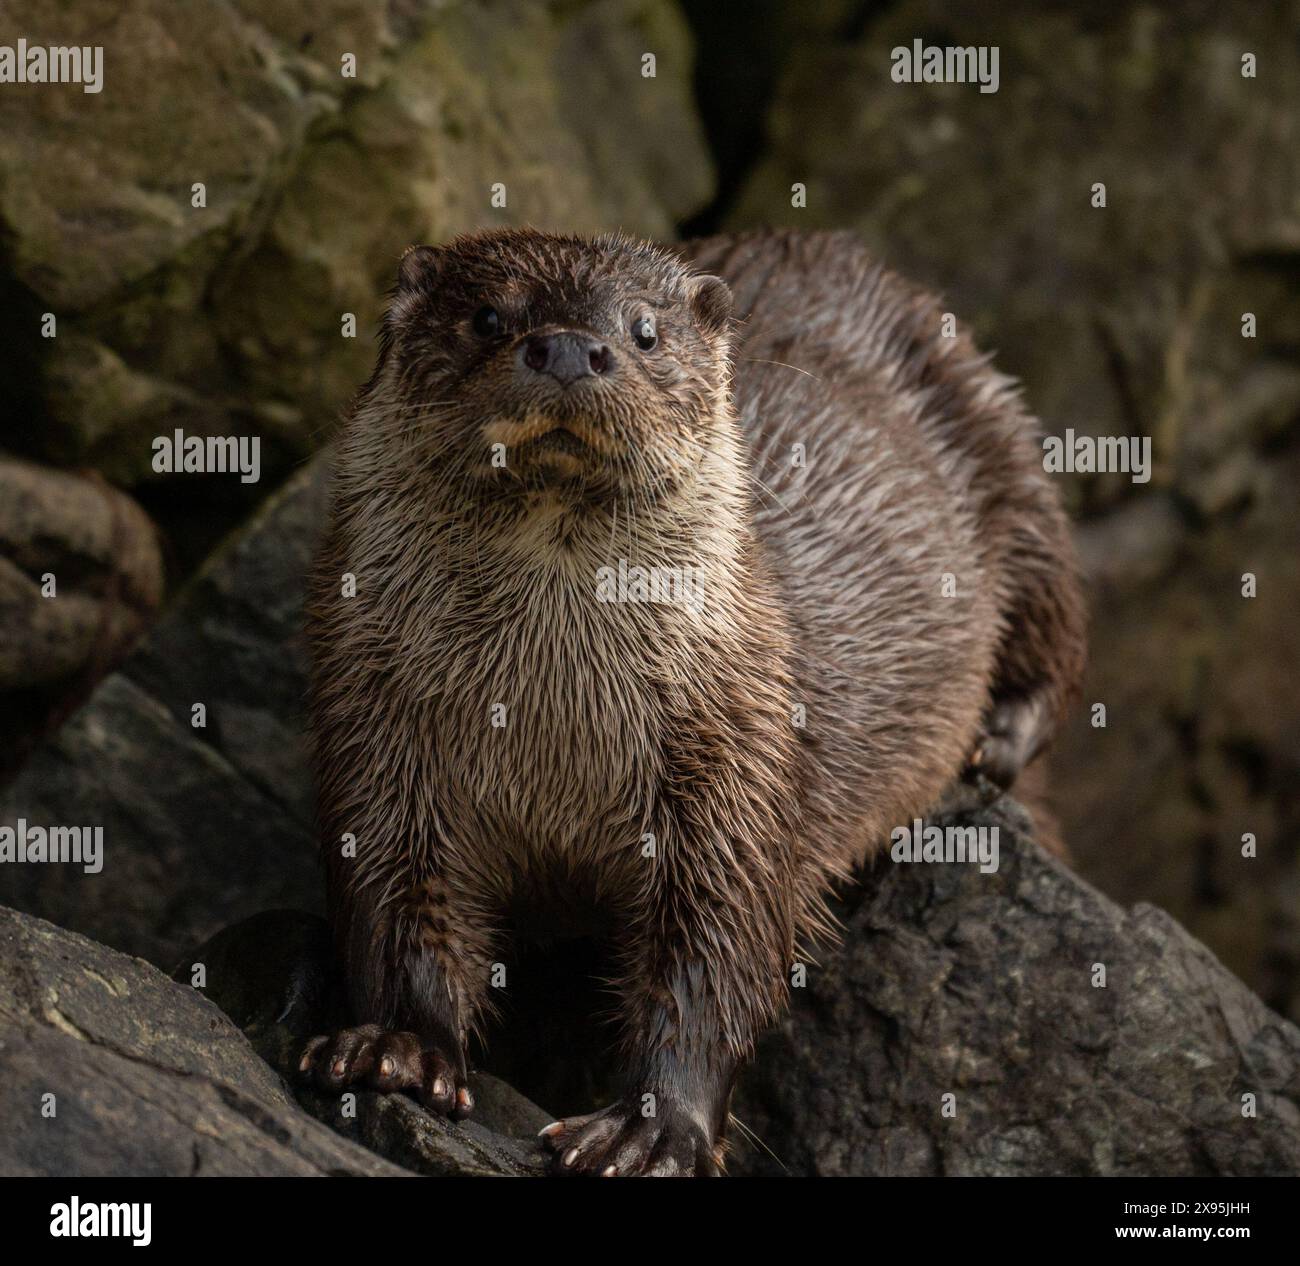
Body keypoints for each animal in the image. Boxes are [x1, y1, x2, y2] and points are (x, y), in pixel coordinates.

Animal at [299, 227, 1086, 1176]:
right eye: (487, 316)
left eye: (644, 331)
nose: (571, 348)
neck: (546, 729)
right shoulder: (373, 726)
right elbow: (390, 896)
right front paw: (401, 1048)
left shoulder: (738, 757)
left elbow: (720, 944)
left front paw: (651, 1128)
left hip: (998, 435)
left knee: (1054, 600)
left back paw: (996, 744)